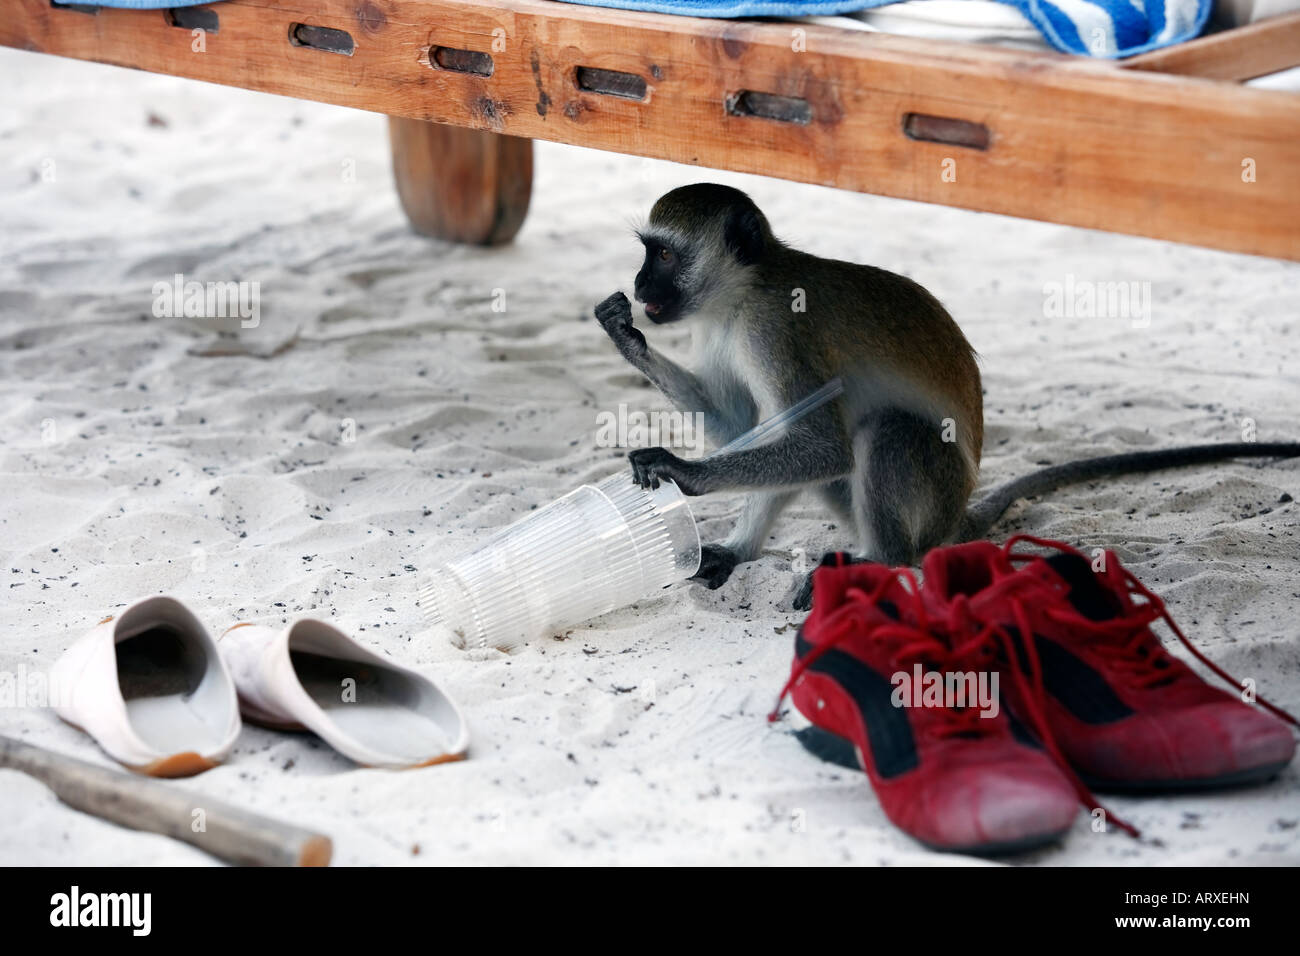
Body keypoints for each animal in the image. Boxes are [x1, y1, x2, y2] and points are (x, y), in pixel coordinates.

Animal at [593, 183, 1300, 610]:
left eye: (663, 255)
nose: (640, 283)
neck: (741, 292)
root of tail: (955, 518)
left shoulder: (774, 329)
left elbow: (820, 443)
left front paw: (683, 473)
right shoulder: (716, 332)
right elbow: (746, 425)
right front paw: (626, 337)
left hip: (929, 500)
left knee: (879, 432)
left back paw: (881, 563)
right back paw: (746, 552)